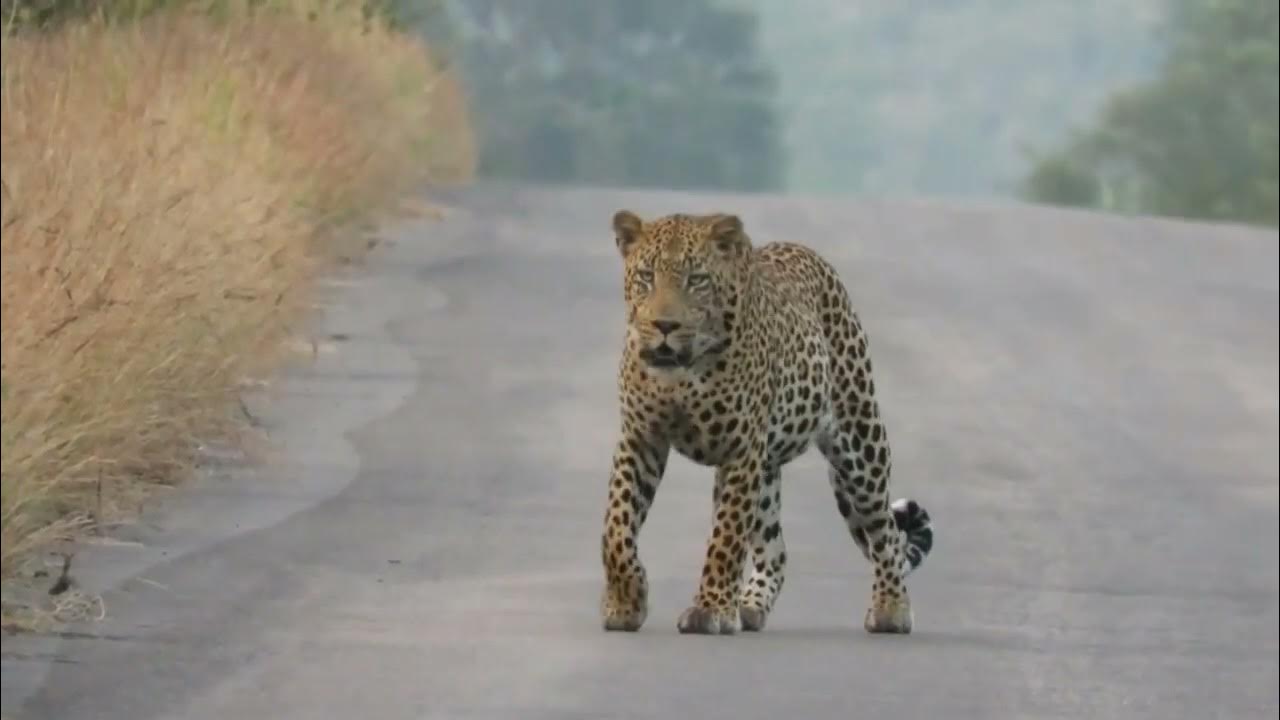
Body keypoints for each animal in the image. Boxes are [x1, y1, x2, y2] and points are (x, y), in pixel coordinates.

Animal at [599, 209, 934, 636]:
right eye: (646, 276)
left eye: (696, 280)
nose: (664, 325)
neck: (682, 371)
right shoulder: (640, 438)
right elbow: (616, 529)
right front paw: (627, 602)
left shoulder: (740, 449)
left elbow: (725, 537)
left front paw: (710, 610)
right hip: (769, 467)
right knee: (776, 547)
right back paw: (750, 605)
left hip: (859, 445)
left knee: (885, 531)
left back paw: (891, 608)